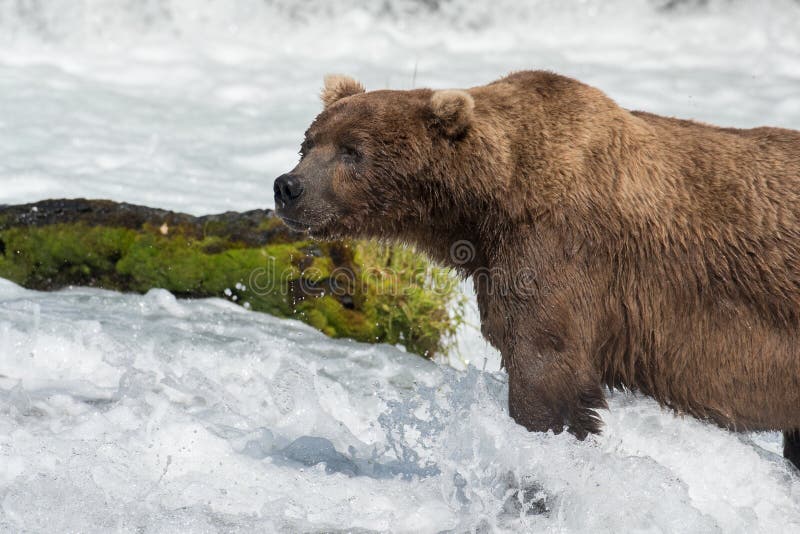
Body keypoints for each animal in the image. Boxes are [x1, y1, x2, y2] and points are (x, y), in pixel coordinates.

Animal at [273, 70, 800, 470]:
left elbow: (546, 362)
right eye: (308, 142)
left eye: (352, 150)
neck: (487, 203)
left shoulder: (558, 248)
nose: (288, 186)